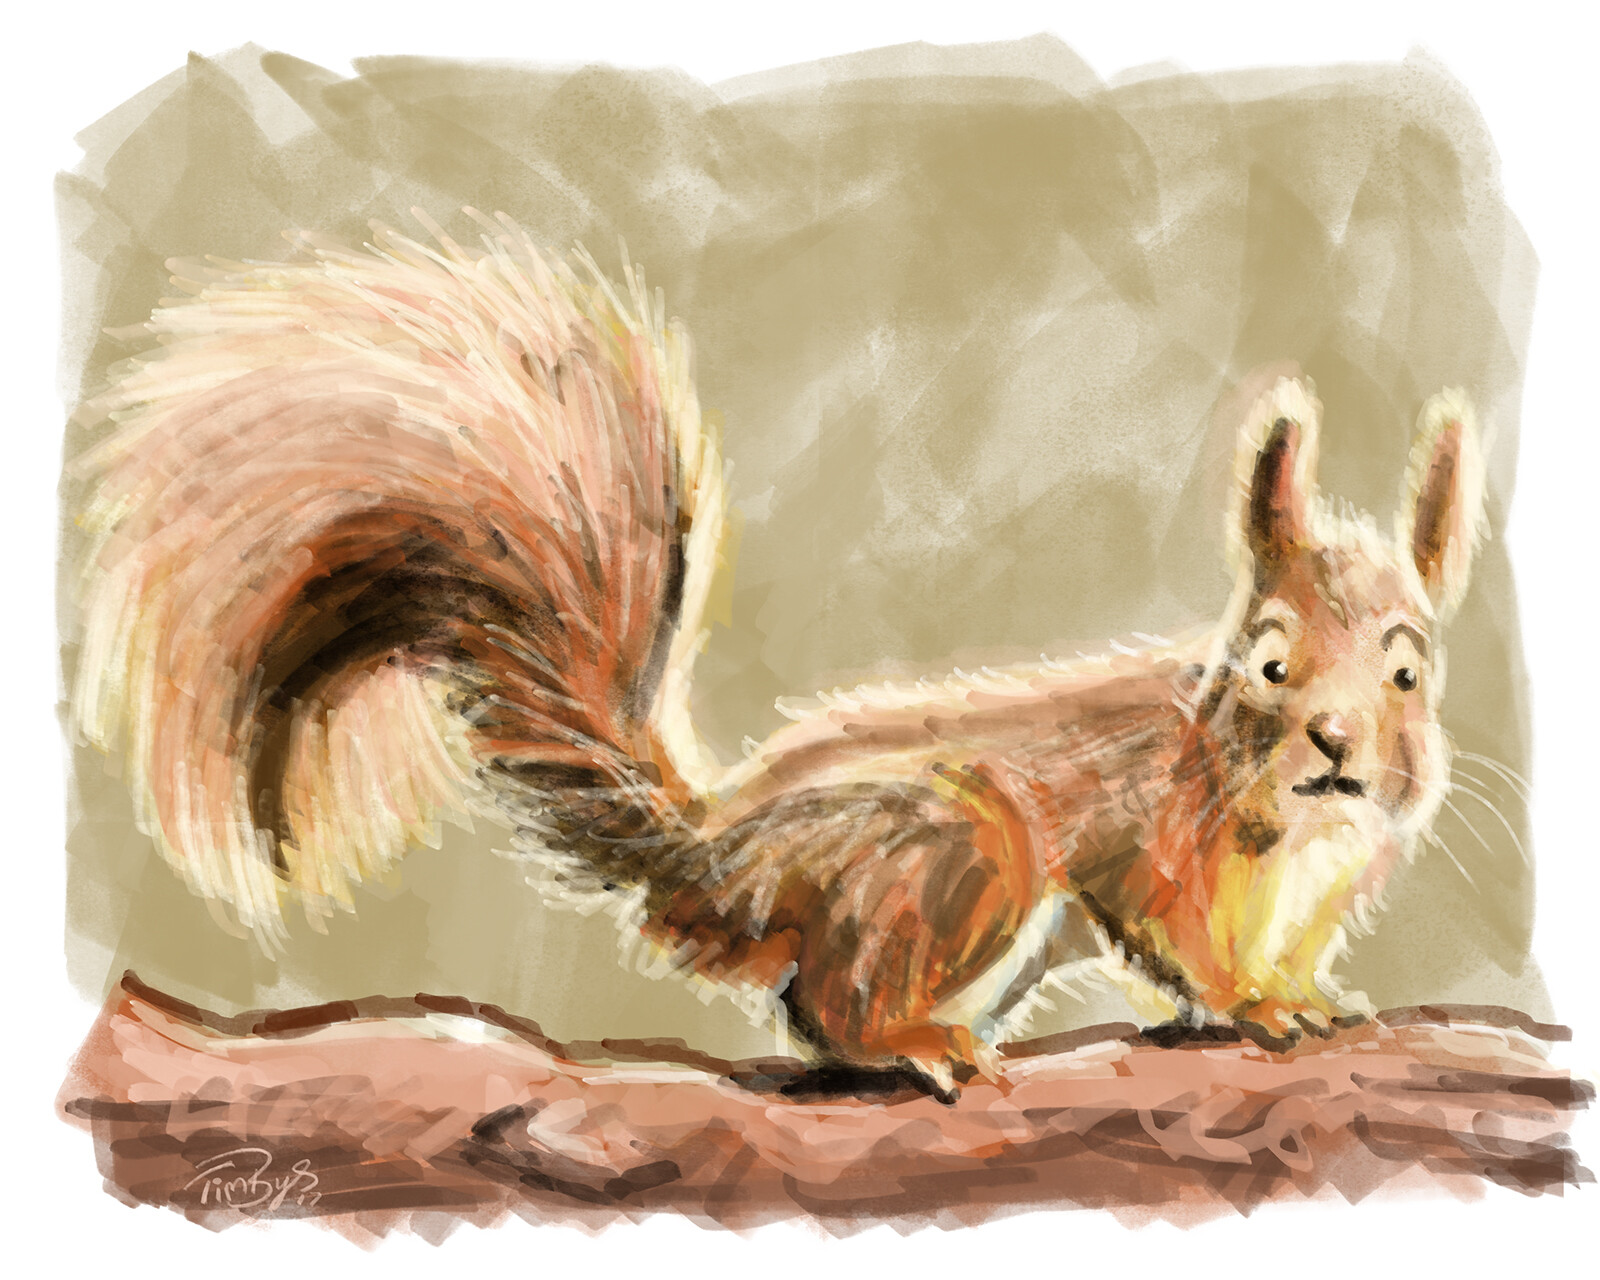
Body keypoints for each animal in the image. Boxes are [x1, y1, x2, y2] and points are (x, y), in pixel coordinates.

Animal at [70, 216, 1487, 1098]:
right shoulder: (1155, 844)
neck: (1297, 829)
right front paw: (1250, 1002)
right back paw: (914, 1039)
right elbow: (1181, 937)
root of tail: (728, 857)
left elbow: (1292, 954)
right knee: (834, 1001)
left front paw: (1302, 994)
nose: (1336, 744)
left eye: (1410, 673)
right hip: (961, 852)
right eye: (1267, 663)